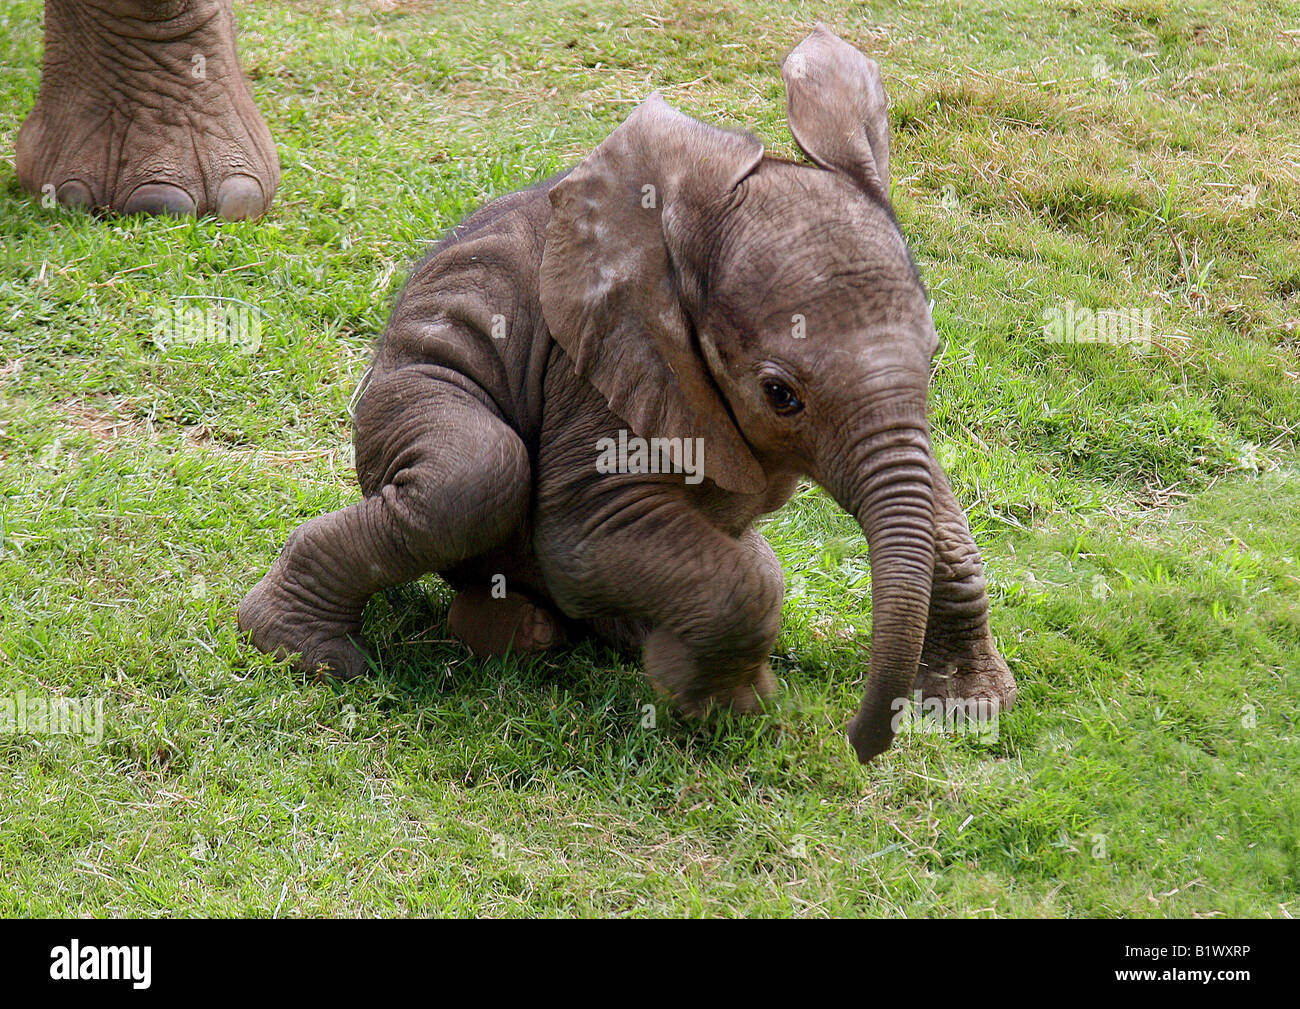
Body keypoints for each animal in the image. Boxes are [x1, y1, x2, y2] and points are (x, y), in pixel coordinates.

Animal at [233, 24, 1017, 763]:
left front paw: (971, 707)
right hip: (399, 403)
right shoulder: (597, 366)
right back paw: (310, 649)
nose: (859, 740)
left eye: (934, 357)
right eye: (780, 394)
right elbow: (590, 535)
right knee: (474, 475)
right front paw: (723, 708)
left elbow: (935, 512)